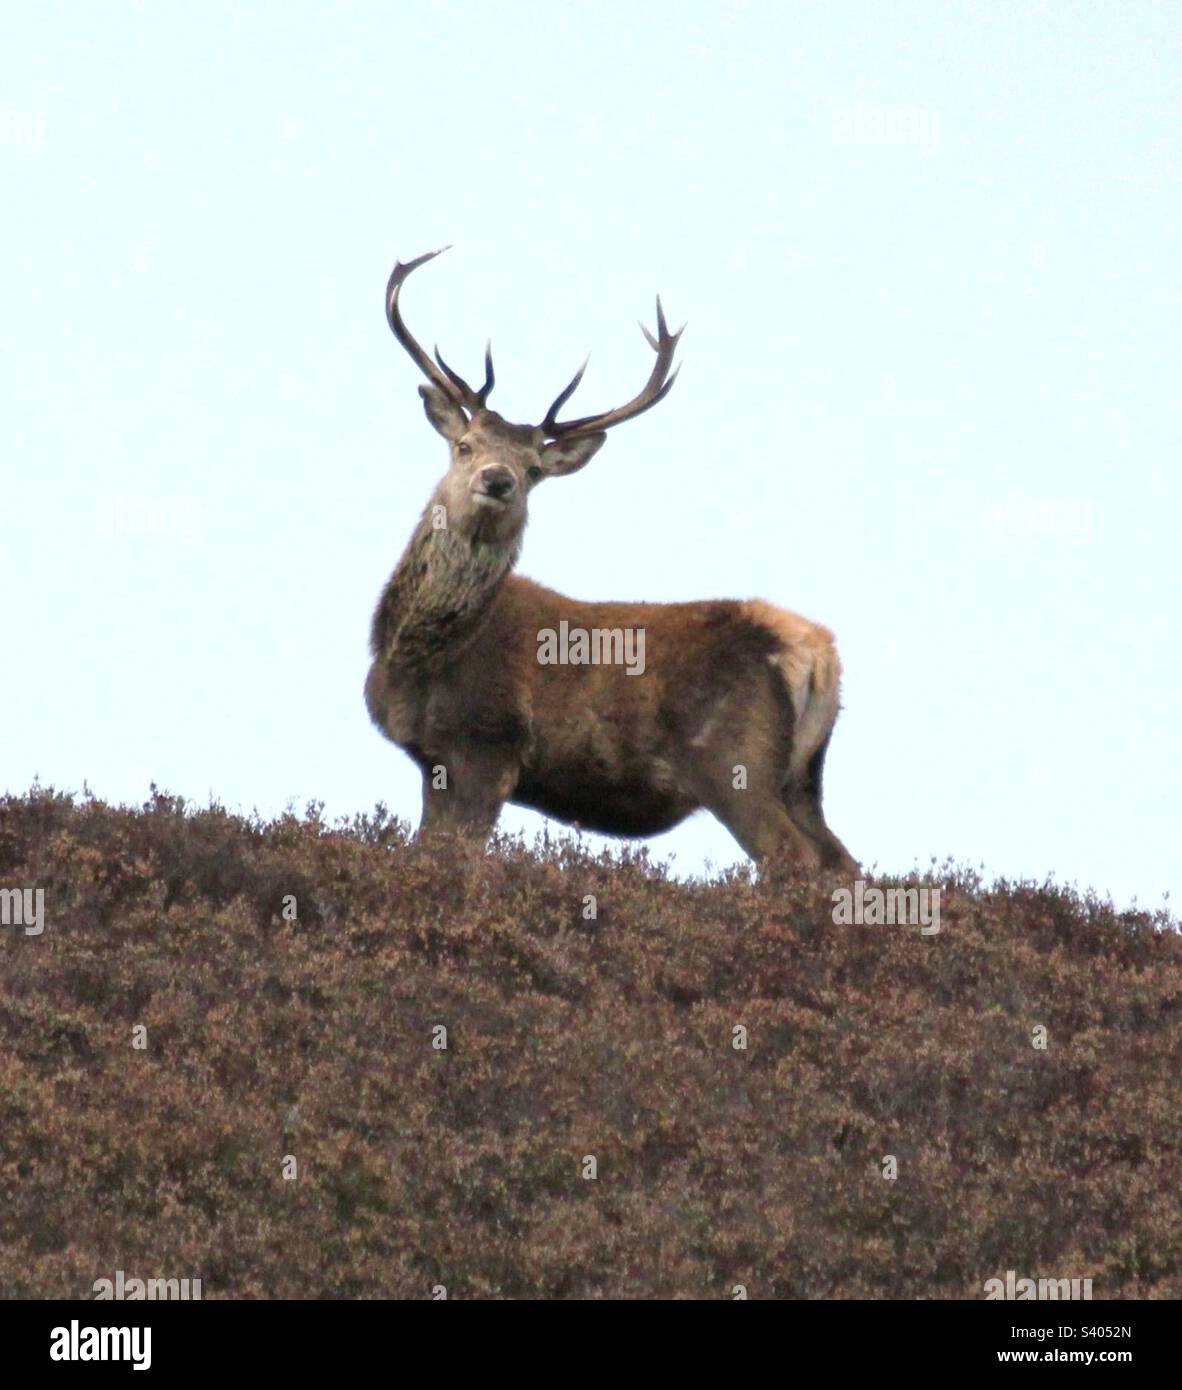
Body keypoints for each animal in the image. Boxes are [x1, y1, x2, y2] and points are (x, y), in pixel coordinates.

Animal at [365, 248, 857, 876]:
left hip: (734, 761)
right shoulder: (436, 762)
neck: (424, 653)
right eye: (465, 445)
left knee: (793, 856)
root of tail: (818, 653)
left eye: (534, 469)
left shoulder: (486, 744)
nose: (498, 480)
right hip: (803, 776)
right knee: (843, 860)